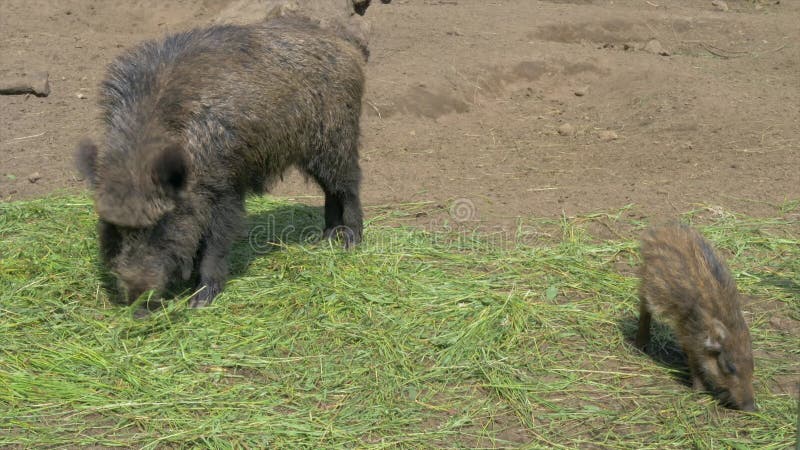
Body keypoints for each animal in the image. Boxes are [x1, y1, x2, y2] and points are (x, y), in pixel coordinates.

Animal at [76, 15, 368, 307]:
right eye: (113, 228)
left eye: (161, 224)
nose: (138, 298)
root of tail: (347, 45)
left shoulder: (224, 188)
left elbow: (215, 242)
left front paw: (200, 300)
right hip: (313, 151)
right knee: (330, 189)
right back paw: (325, 238)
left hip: (336, 137)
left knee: (349, 183)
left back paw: (351, 241)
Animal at [636, 224, 756, 411]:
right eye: (730, 367)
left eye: (752, 367)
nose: (752, 408)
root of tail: (658, 230)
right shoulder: (690, 337)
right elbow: (696, 364)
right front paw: (699, 393)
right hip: (651, 287)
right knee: (643, 304)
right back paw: (641, 346)